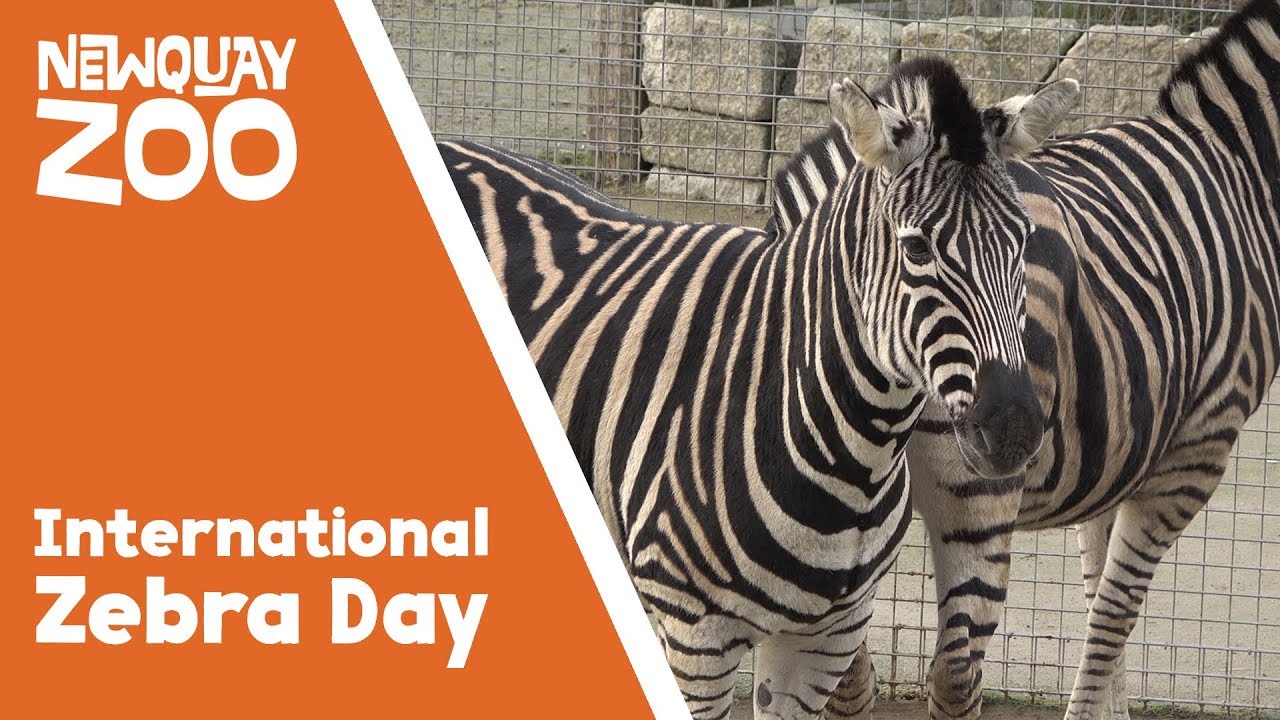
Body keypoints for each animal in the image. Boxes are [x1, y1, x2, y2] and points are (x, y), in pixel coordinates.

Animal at [768, 2, 1280, 719]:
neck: (1240, 160)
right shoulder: (1198, 446)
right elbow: (1112, 614)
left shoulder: (1121, 440)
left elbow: (1096, 586)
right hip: (975, 483)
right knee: (953, 670)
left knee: (848, 669)